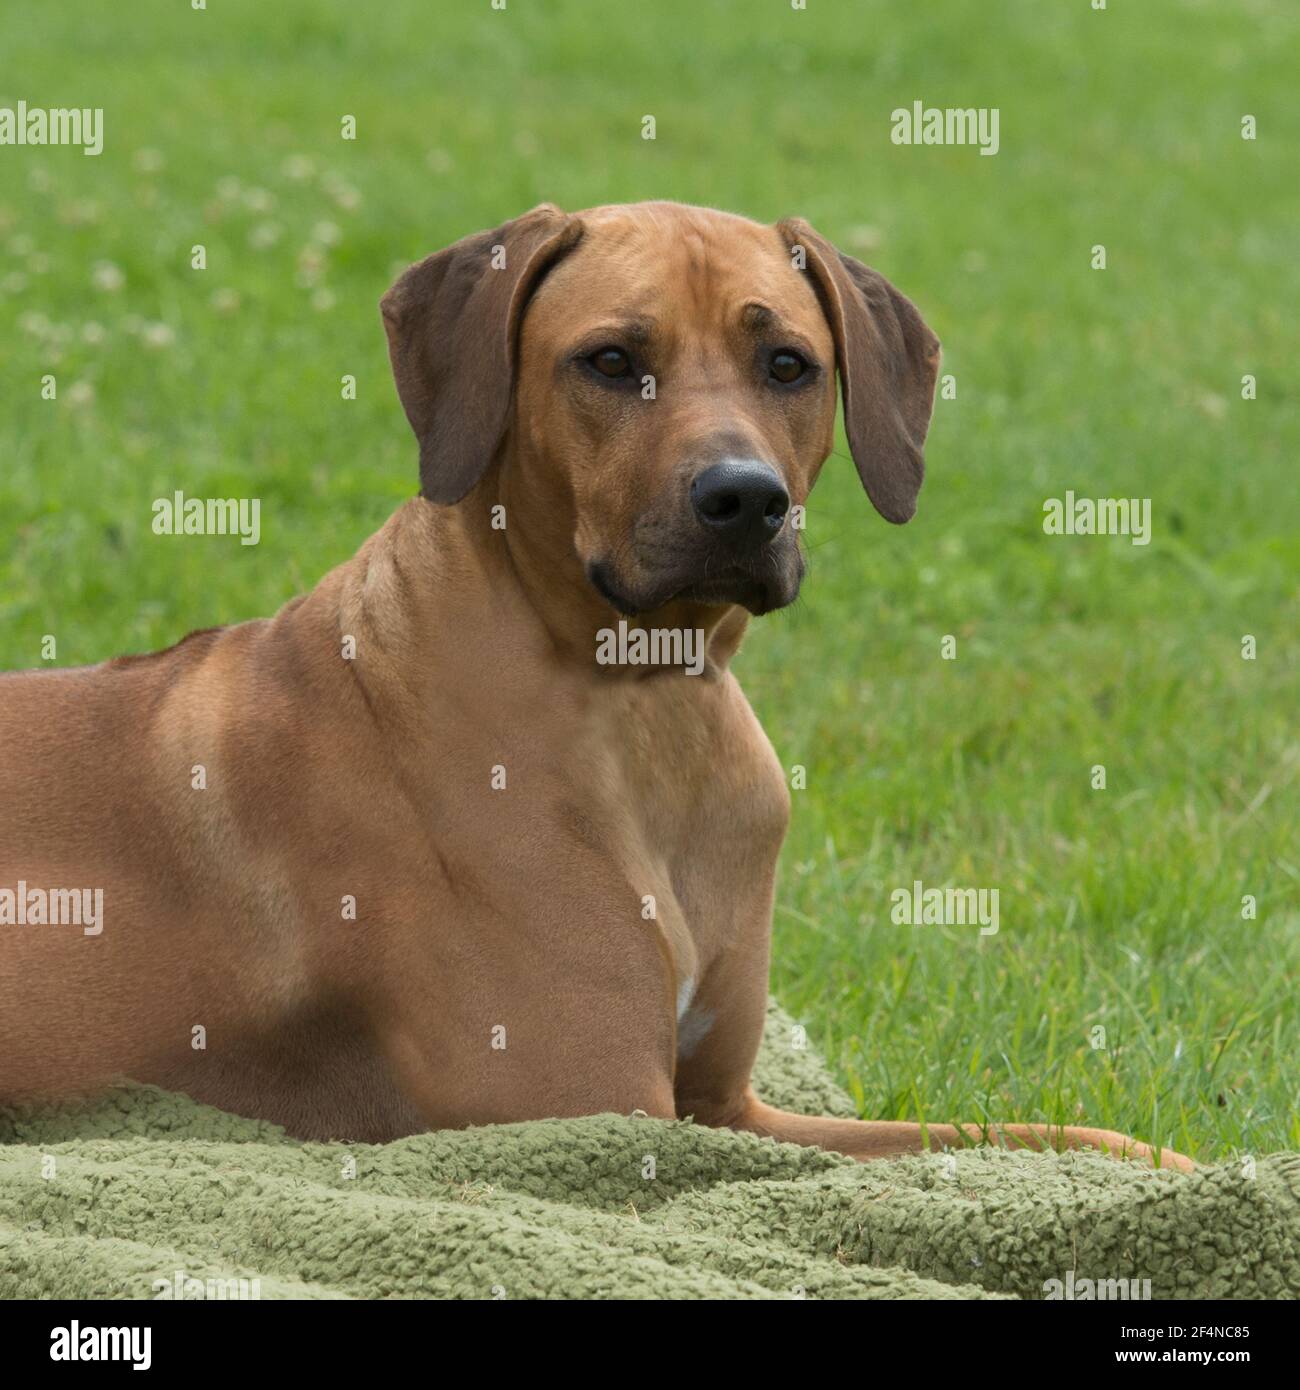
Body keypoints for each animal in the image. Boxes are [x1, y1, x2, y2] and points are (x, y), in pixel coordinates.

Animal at [0, 201, 1190, 1167]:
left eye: (788, 364)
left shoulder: (728, 1103)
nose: (744, 499)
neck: (643, 705)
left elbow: (1037, 1136)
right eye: (612, 361)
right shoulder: (607, 1114)